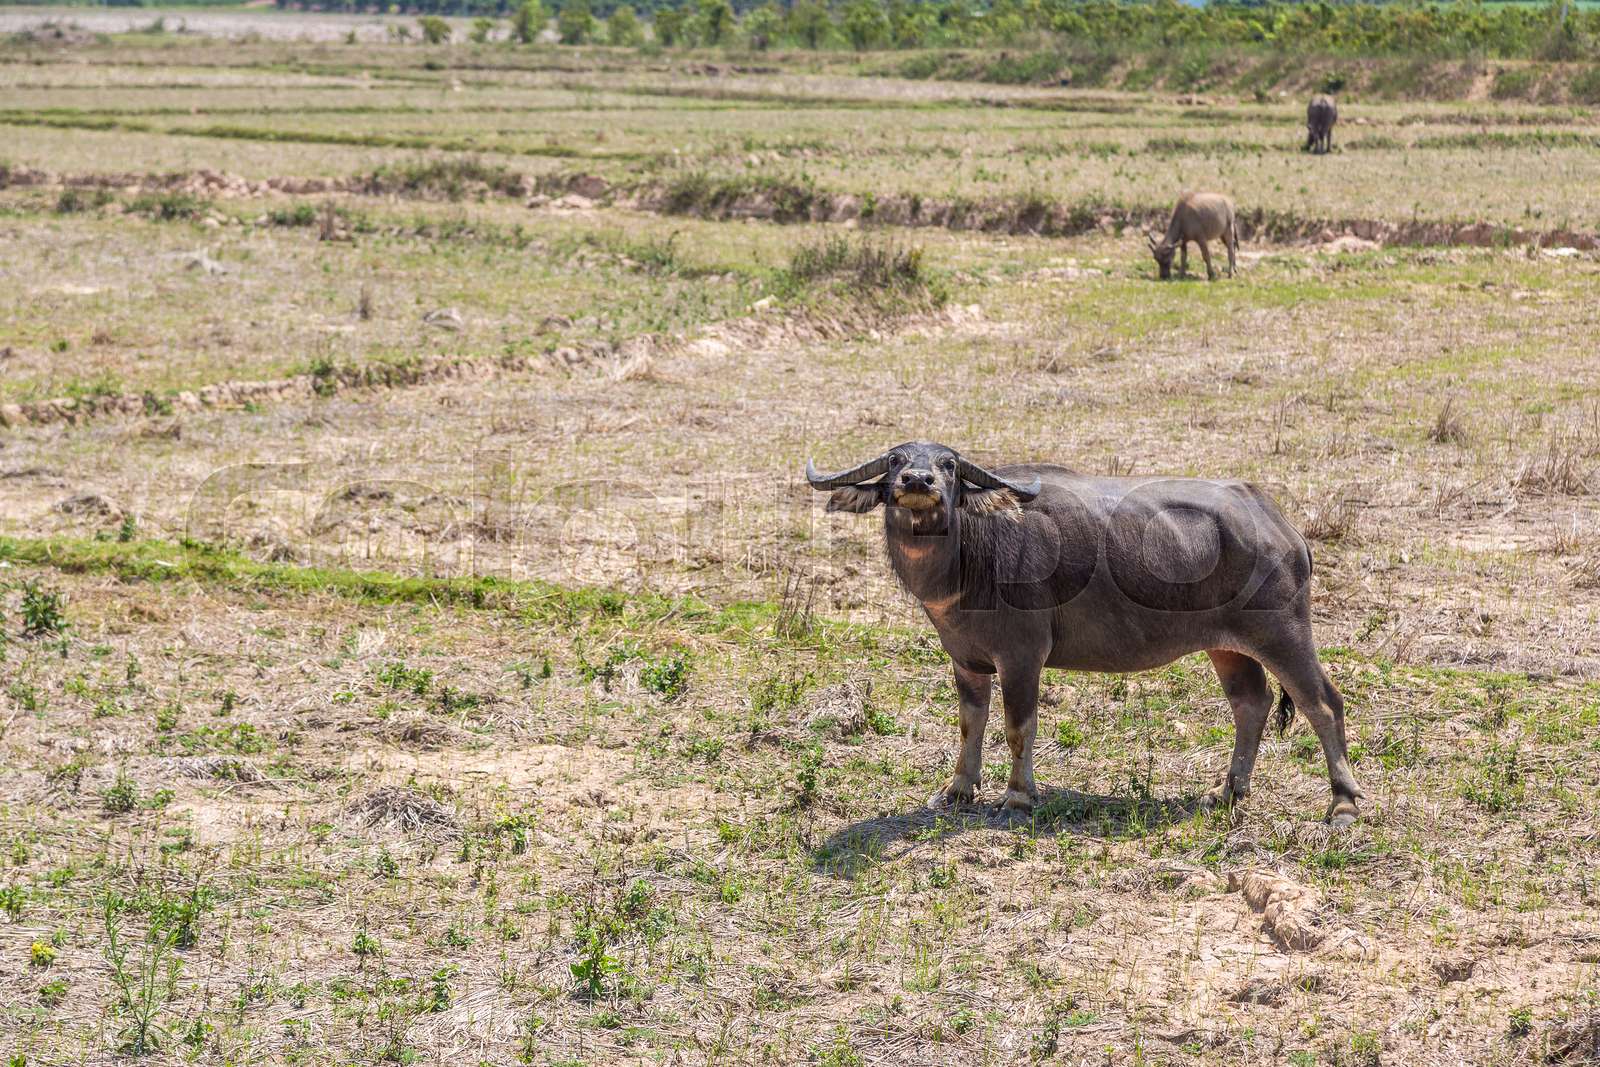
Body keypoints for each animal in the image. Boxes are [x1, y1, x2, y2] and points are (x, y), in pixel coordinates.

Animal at [806, 442, 1362, 827]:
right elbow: (970, 723)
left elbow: (1019, 726)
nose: (917, 480)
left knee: (1322, 703)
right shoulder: (965, 660)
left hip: (1282, 631)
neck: (971, 558)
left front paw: (1018, 796)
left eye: (948, 464)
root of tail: (1279, 524)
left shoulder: (1022, 656)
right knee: (1252, 702)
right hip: (1226, 646)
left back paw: (1343, 804)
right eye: (895, 458)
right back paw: (1228, 792)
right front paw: (959, 789)